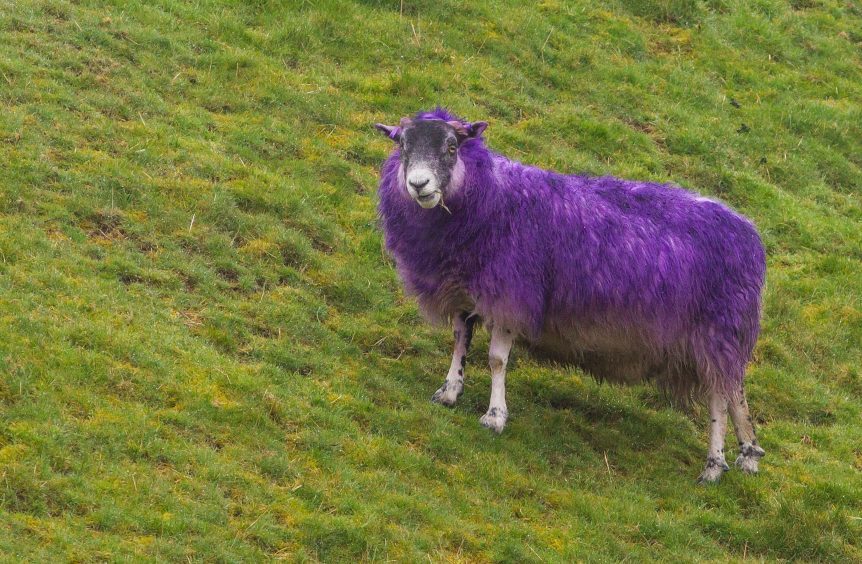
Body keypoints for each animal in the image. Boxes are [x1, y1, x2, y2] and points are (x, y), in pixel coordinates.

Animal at [374, 108, 766, 483]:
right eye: (403, 146)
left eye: (452, 147)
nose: (419, 184)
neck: (494, 199)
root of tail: (749, 234)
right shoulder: (463, 293)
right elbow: (460, 341)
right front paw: (450, 391)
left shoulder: (512, 295)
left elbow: (497, 360)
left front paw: (494, 416)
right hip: (718, 339)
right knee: (735, 394)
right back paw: (749, 455)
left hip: (718, 332)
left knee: (720, 399)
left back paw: (714, 465)